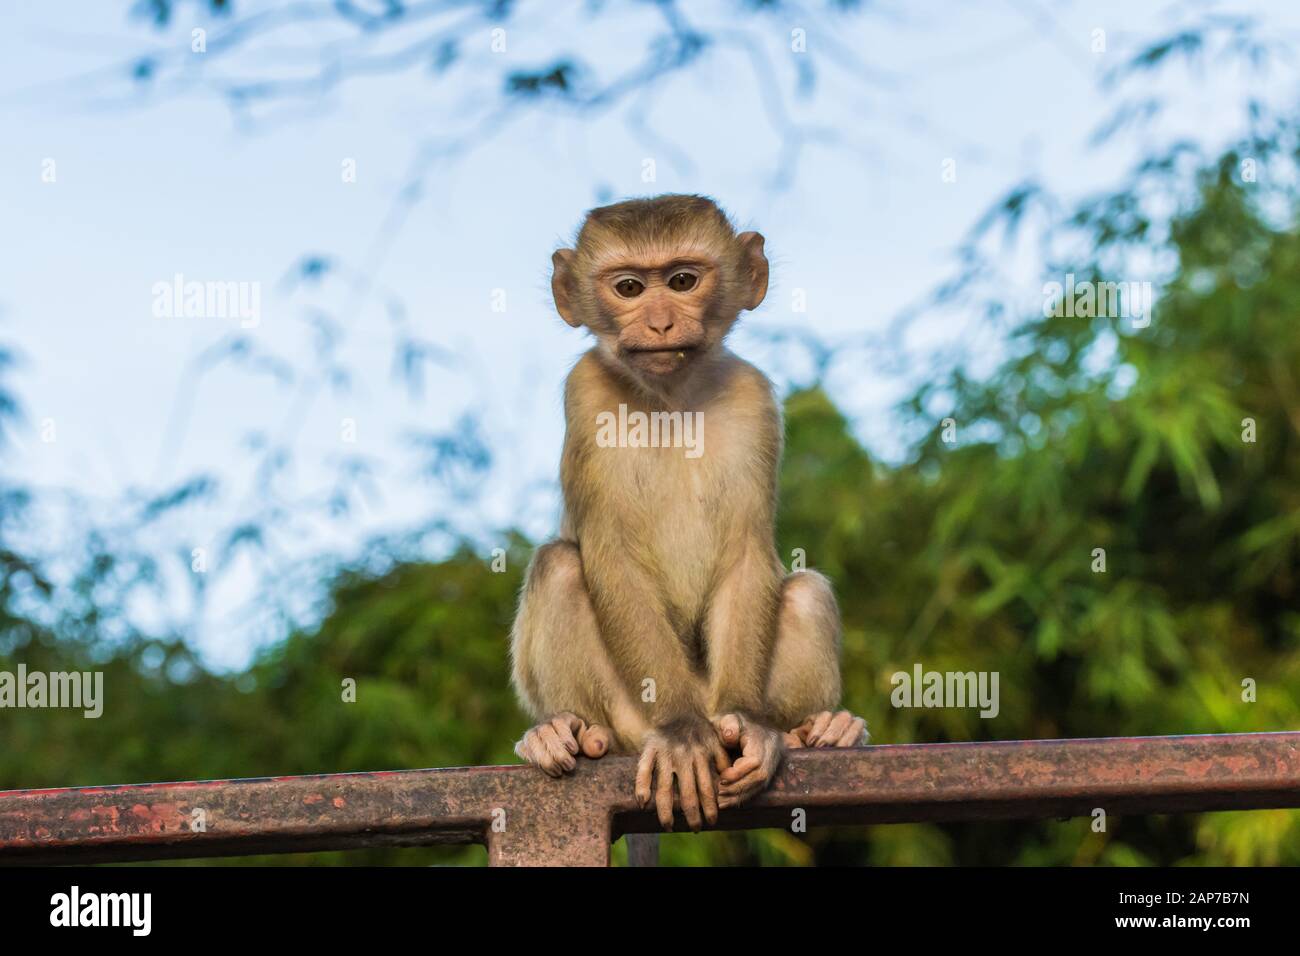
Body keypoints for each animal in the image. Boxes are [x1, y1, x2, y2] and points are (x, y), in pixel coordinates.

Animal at [510, 194, 867, 833]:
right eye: (628, 287)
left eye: (682, 281)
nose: (659, 324)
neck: (671, 400)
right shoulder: (587, 392)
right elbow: (609, 555)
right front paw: (680, 734)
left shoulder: (753, 398)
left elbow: (748, 552)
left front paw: (749, 725)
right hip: (630, 718)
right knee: (559, 567)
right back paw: (568, 734)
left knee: (805, 592)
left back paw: (816, 730)